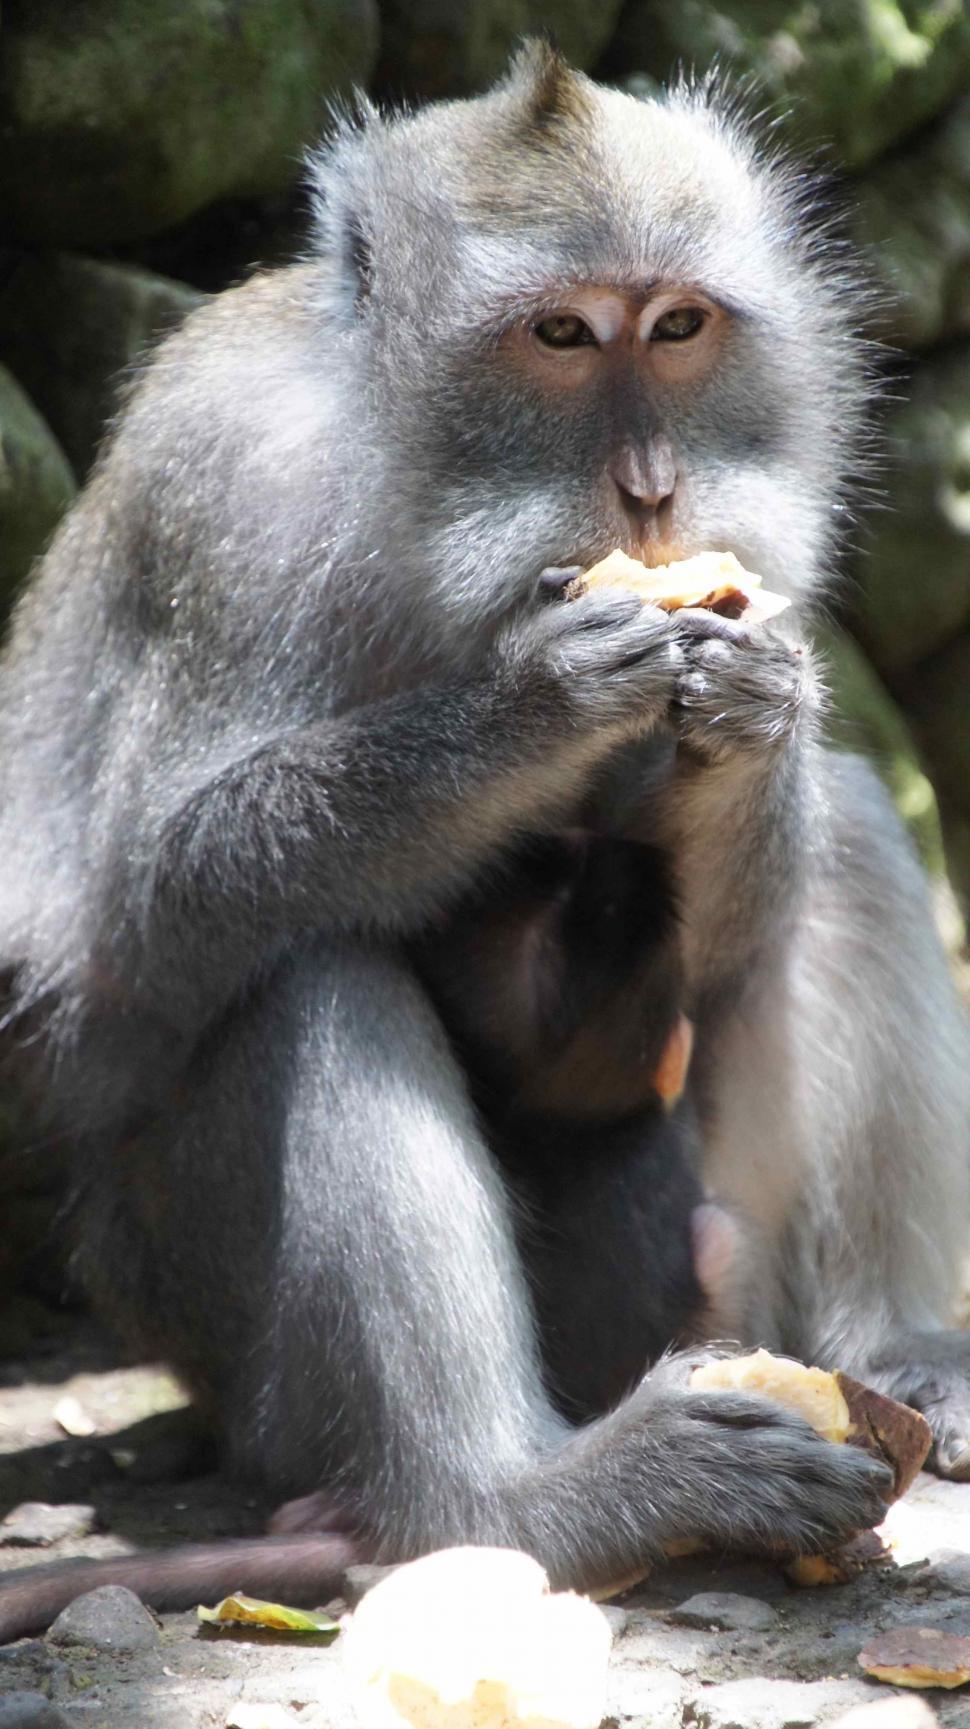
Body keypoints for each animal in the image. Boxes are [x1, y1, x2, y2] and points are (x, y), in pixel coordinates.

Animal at [3, 39, 968, 1640]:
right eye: (560, 335)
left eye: (679, 326)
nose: (650, 489)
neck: (429, 513)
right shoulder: (225, 493)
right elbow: (149, 911)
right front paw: (533, 703)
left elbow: (736, 915)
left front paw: (762, 703)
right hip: (230, 1355)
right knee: (308, 978)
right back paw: (525, 1498)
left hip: (724, 1276)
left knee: (845, 855)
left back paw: (896, 1357)